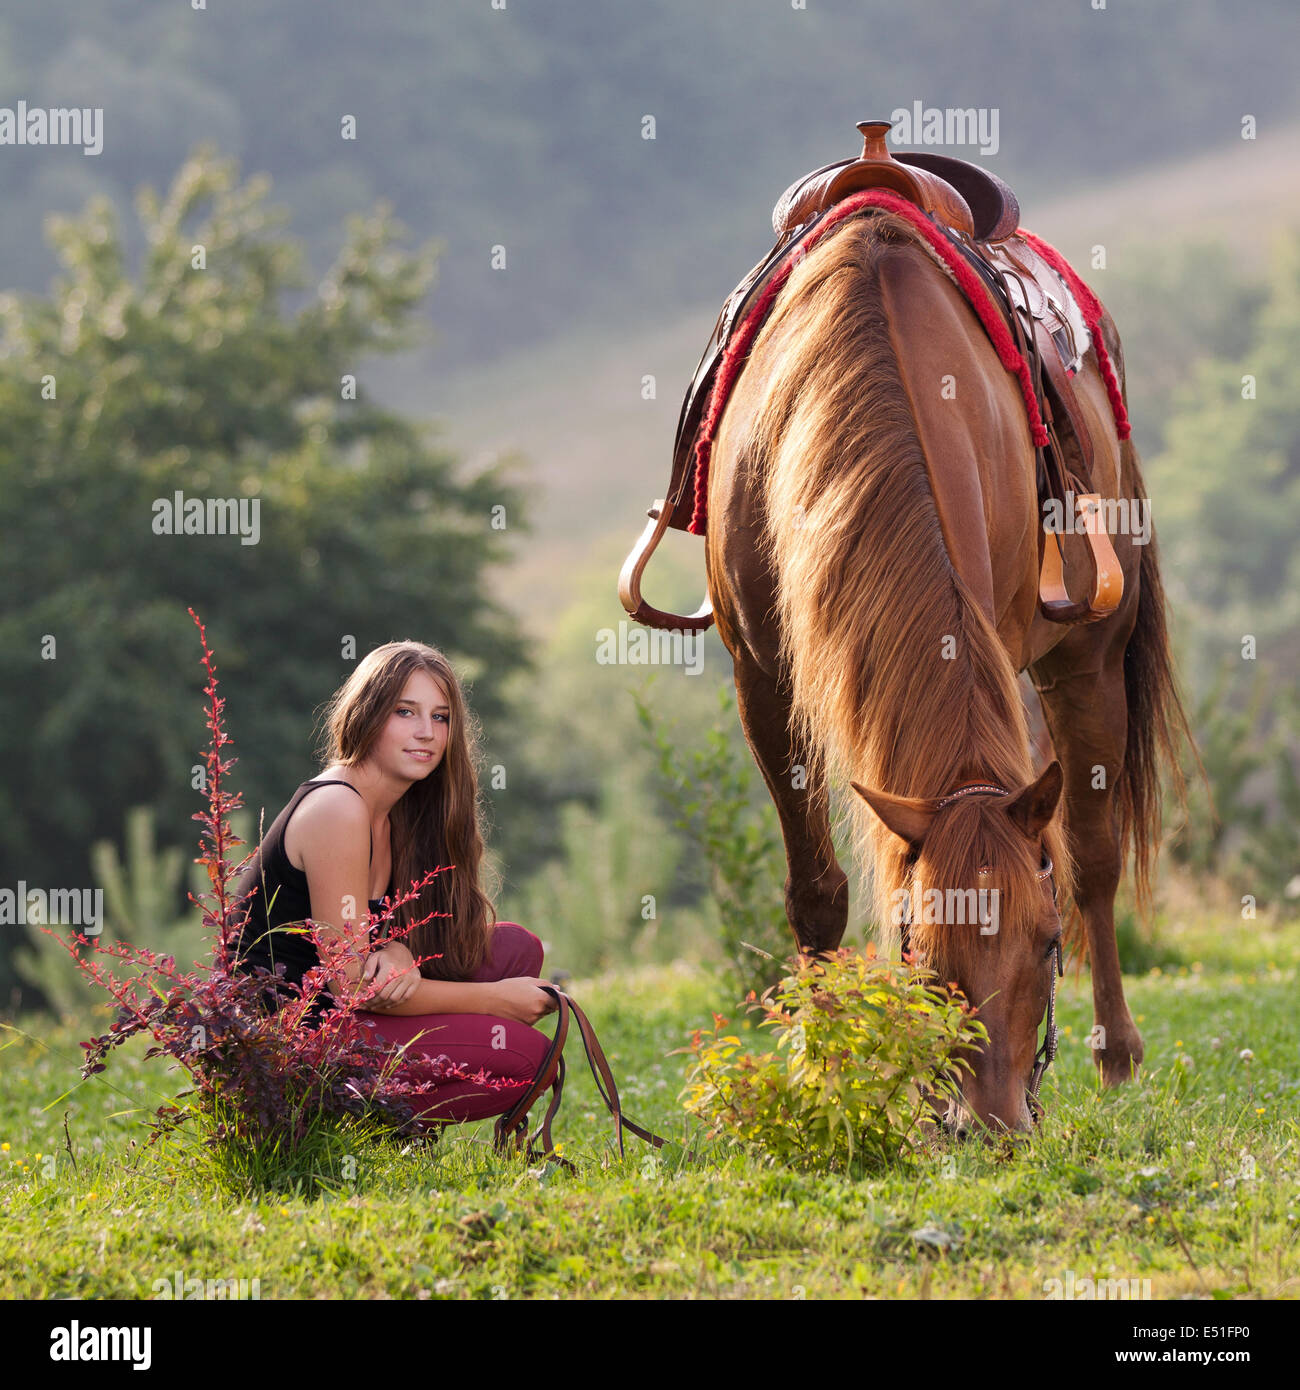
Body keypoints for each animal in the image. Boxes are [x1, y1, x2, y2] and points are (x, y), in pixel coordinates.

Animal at [703, 207, 1187, 1135]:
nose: (992, 1123)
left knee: (1093, 855)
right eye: (918, 956)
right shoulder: (762, 679)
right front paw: (823, 1065)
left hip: (1088, 660)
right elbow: (816, 891)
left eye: (1046, 944)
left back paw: (1116, 1053)